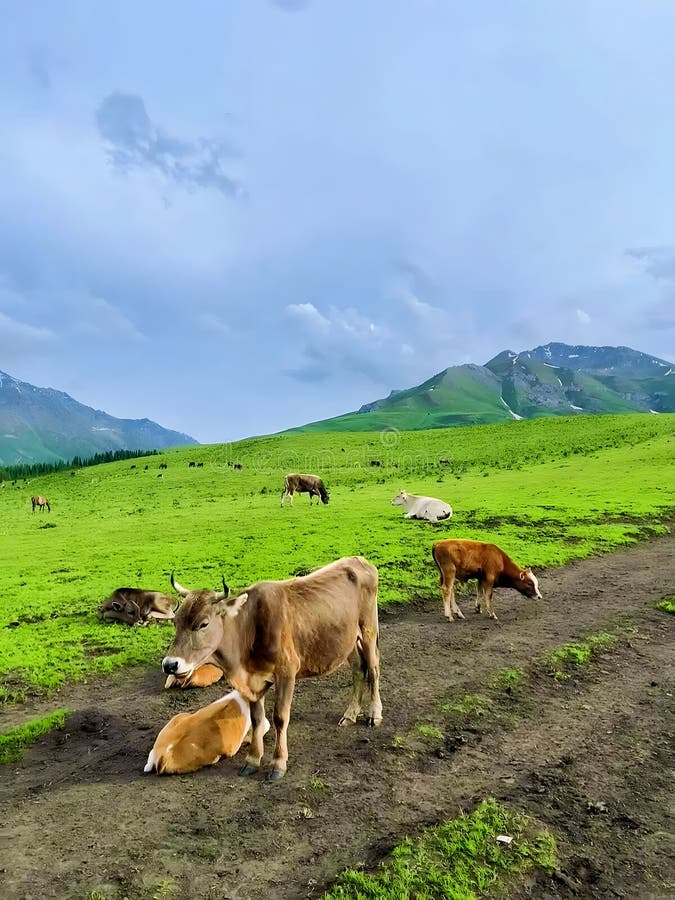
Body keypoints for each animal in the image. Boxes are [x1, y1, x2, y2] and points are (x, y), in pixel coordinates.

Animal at [162, 557, 382, 781]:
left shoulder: (287, 672)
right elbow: (257, 719)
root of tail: (358, 560)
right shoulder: (254, 681)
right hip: (348, 640)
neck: (249, 631)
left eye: (203, 624)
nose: (170, 664)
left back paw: (374, 714)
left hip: (368, 629)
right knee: (358, 670)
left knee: (373, 669)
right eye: (175, 622)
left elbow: (280, 717)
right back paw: (350, 714)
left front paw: (279, 763)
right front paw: (252, 760)